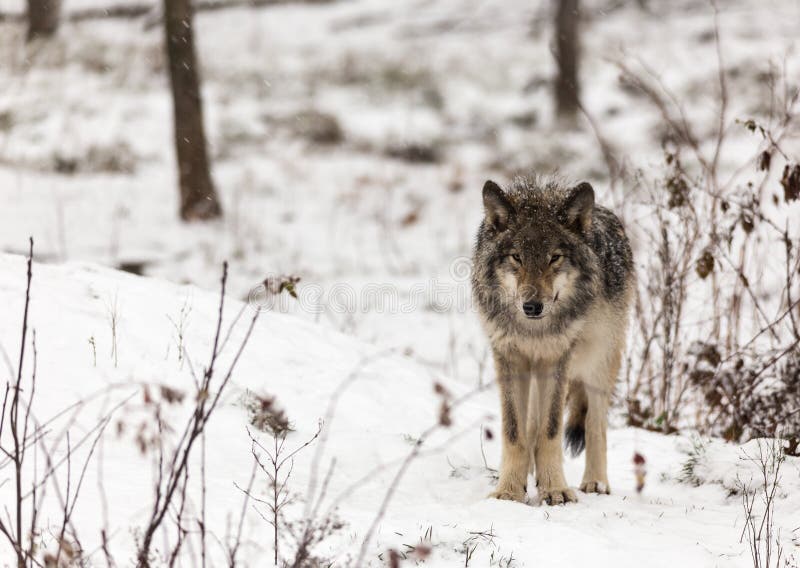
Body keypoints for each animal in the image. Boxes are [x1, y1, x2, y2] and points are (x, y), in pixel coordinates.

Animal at [472, 174, 634, 505]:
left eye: (554, 258)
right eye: (517, 257)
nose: (532, 306)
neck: (534, 332)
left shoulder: (559, 357)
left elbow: (551, 430)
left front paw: (555, 489)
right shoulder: (509, 357)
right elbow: (515, 432)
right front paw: (509, 490)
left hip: (598, 359)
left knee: (595, 424)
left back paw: (596, 482)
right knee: (532, 423)